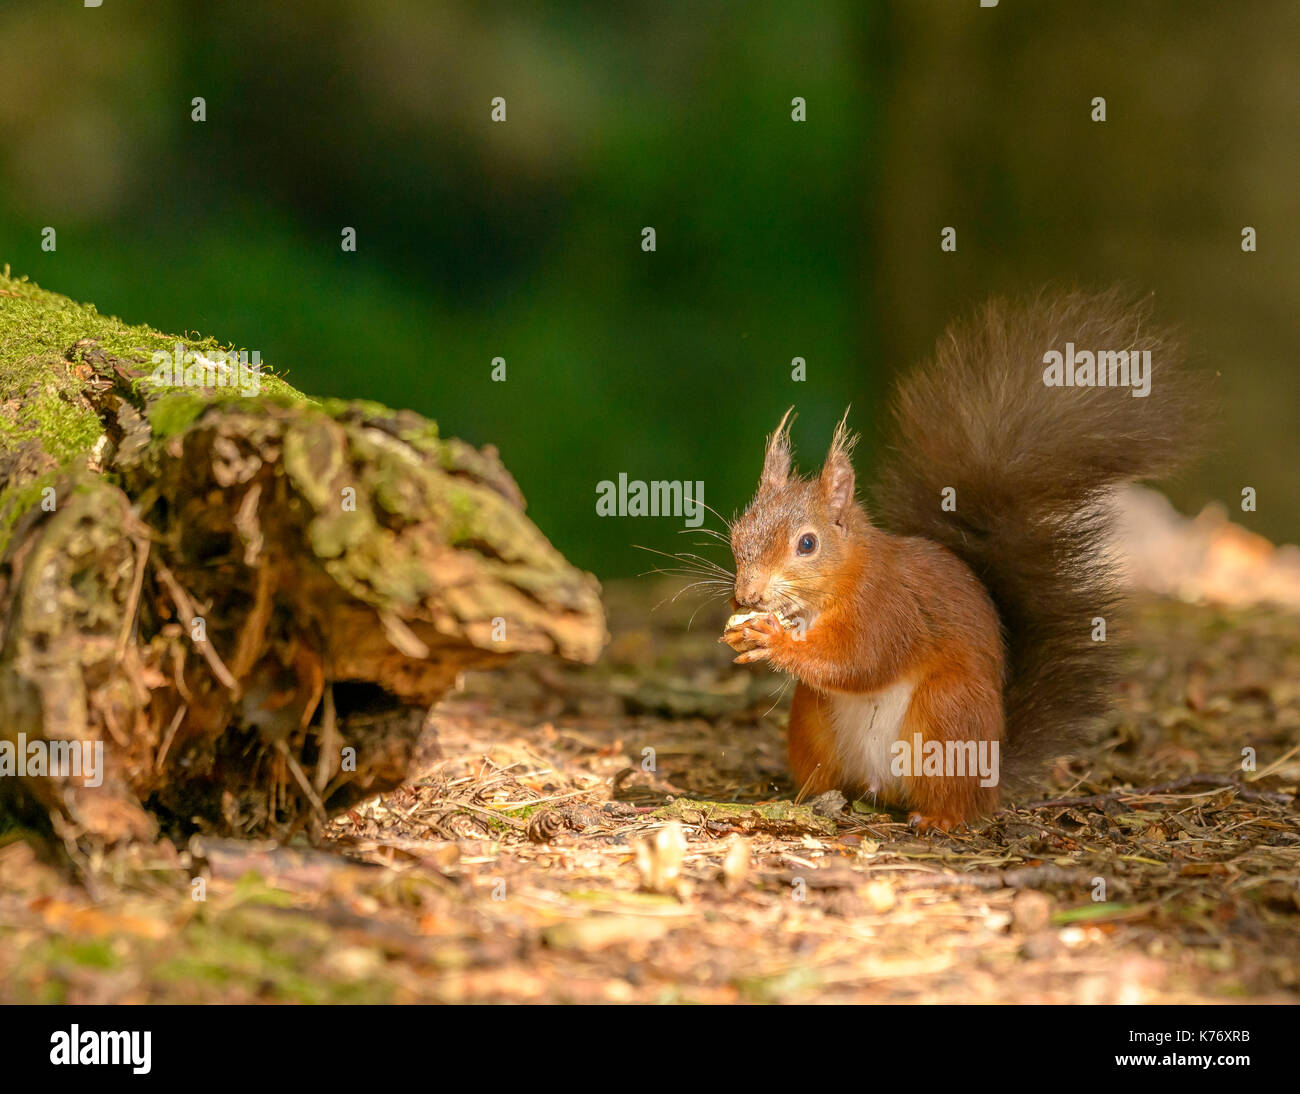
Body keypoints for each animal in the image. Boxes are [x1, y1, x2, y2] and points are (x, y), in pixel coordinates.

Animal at [720, 290, 1203, 830]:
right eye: (738, 533)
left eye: (807, 544)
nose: (747, 594)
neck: (837, 587)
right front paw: (744, 630)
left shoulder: (890, 609)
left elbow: (860, 660)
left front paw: (775, 641)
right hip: (813, 719)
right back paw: (801, 800)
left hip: (948, 715)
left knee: (951, 794)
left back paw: (939, 819)